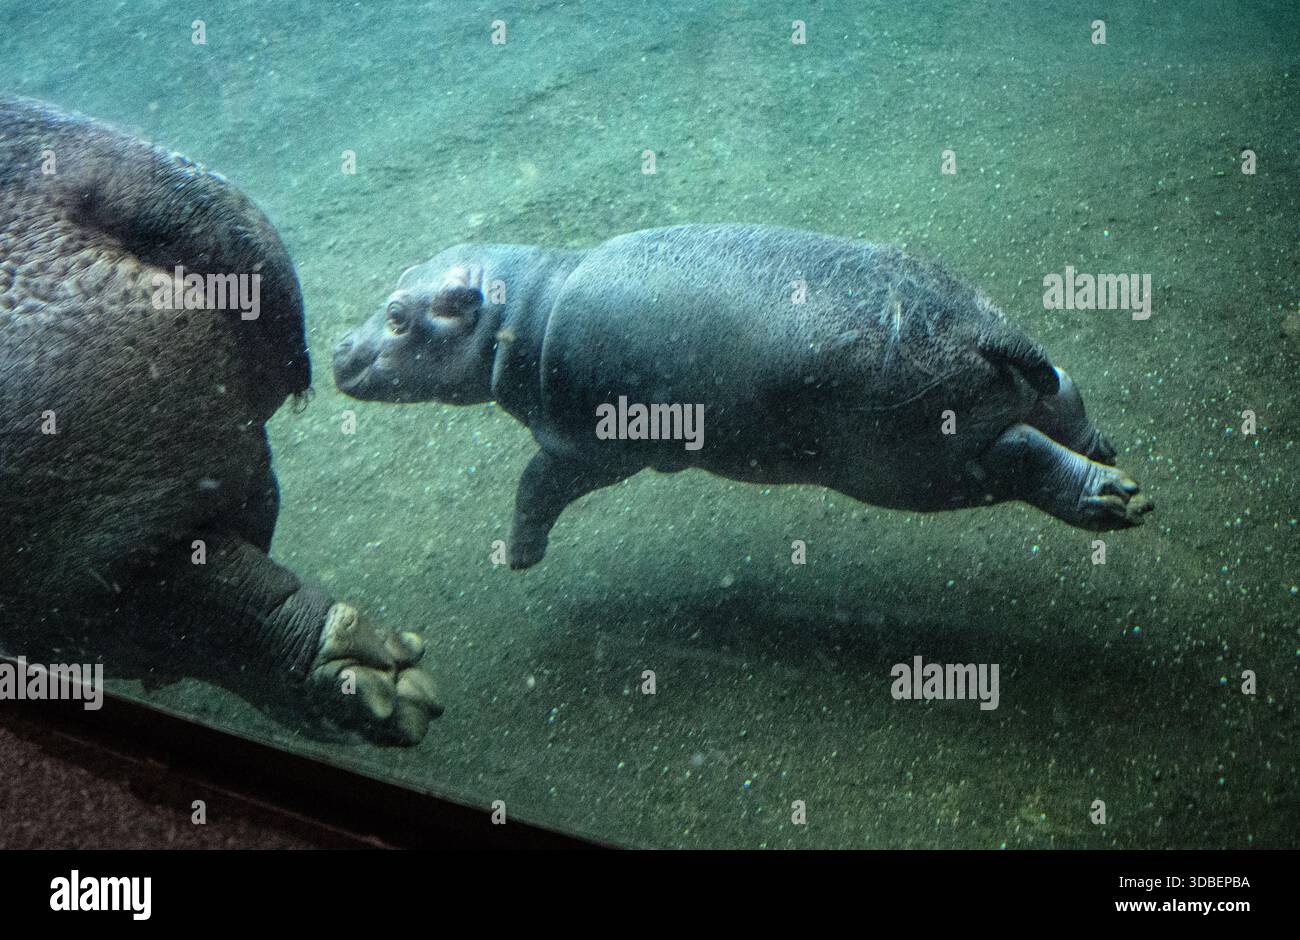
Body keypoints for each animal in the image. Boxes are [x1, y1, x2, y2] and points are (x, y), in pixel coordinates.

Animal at [333, 224, 1150, 569]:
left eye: (400, 315)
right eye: (397, 284)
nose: (338, 349)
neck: (524, 307)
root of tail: (986, 331)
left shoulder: (584, 448)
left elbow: (535, 485)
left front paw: (521, 558)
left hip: (920, 464)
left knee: (1019, 458)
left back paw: (1114, 501)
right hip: (1003, 382)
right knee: (1061, 394)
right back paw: (1110, 460)